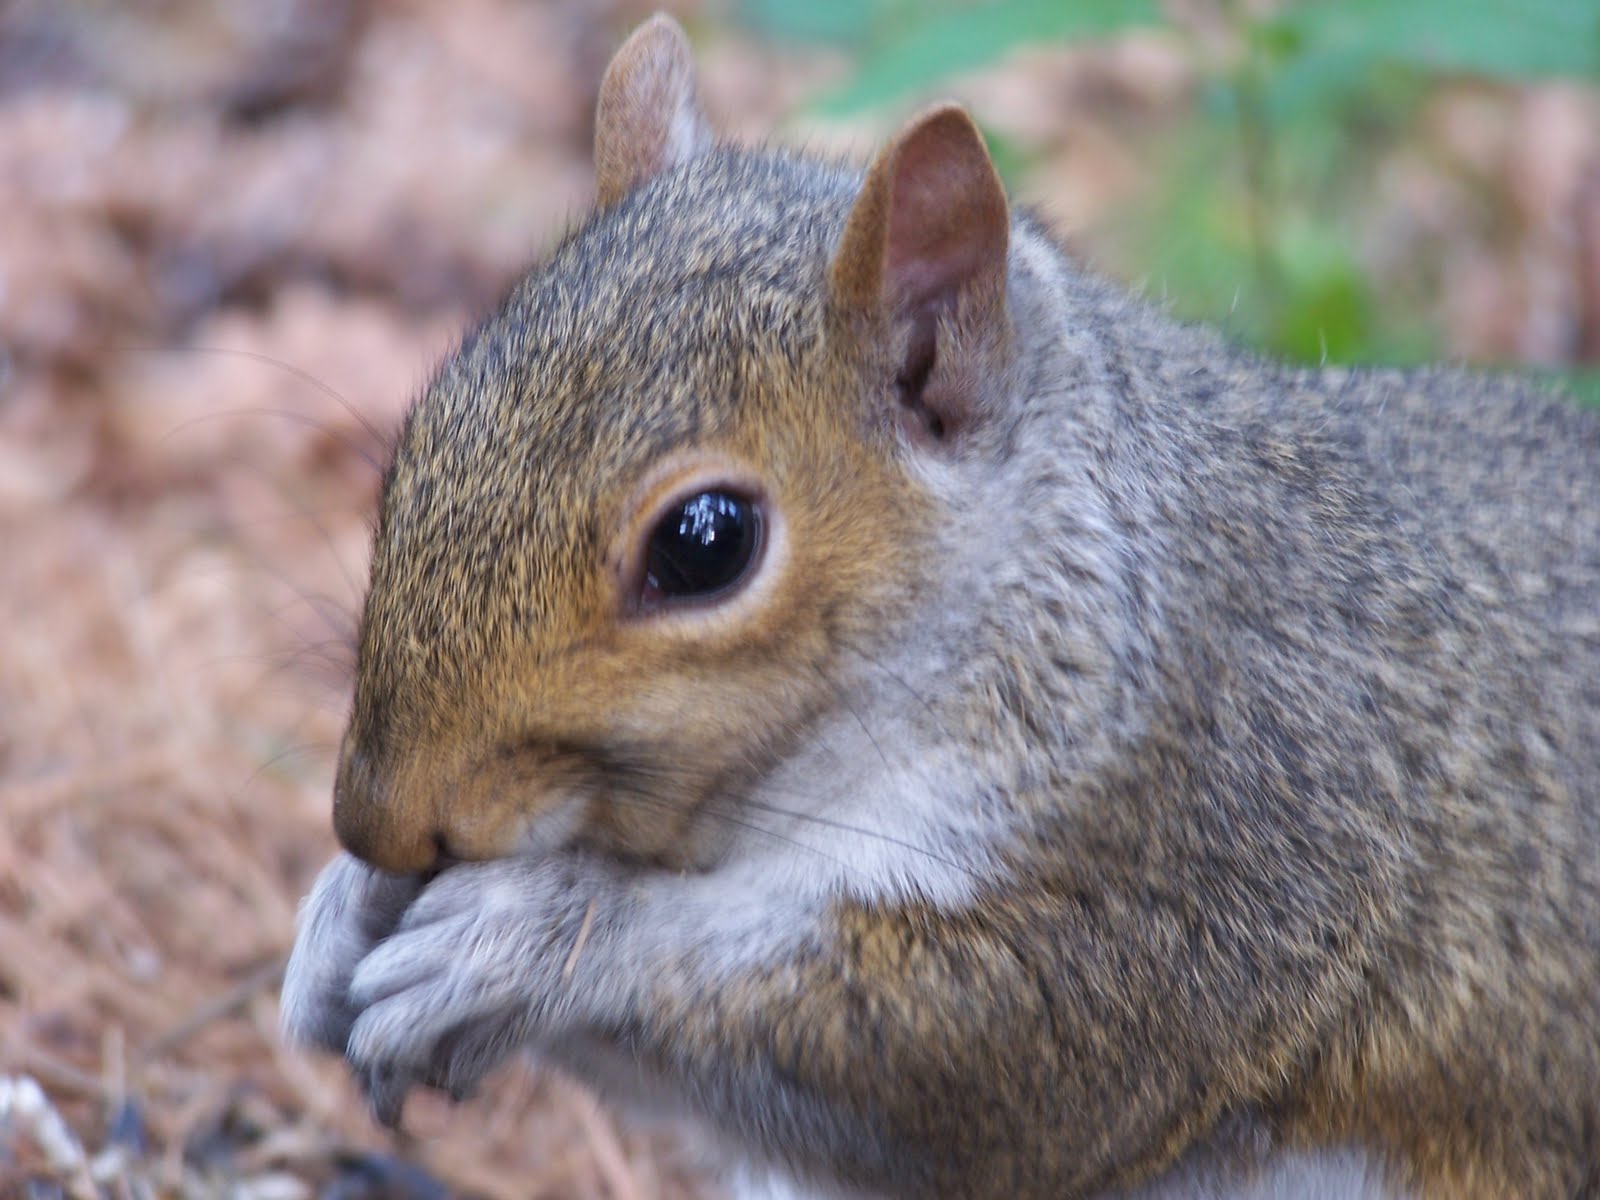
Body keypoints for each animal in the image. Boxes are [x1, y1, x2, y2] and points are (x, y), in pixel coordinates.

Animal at [281, 14, 1600, 1200]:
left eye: (705, 545)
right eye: (425, 424)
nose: (375, 821)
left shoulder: (1218, 850)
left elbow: (978, 1053)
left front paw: (530, 936)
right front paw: (338, 919)